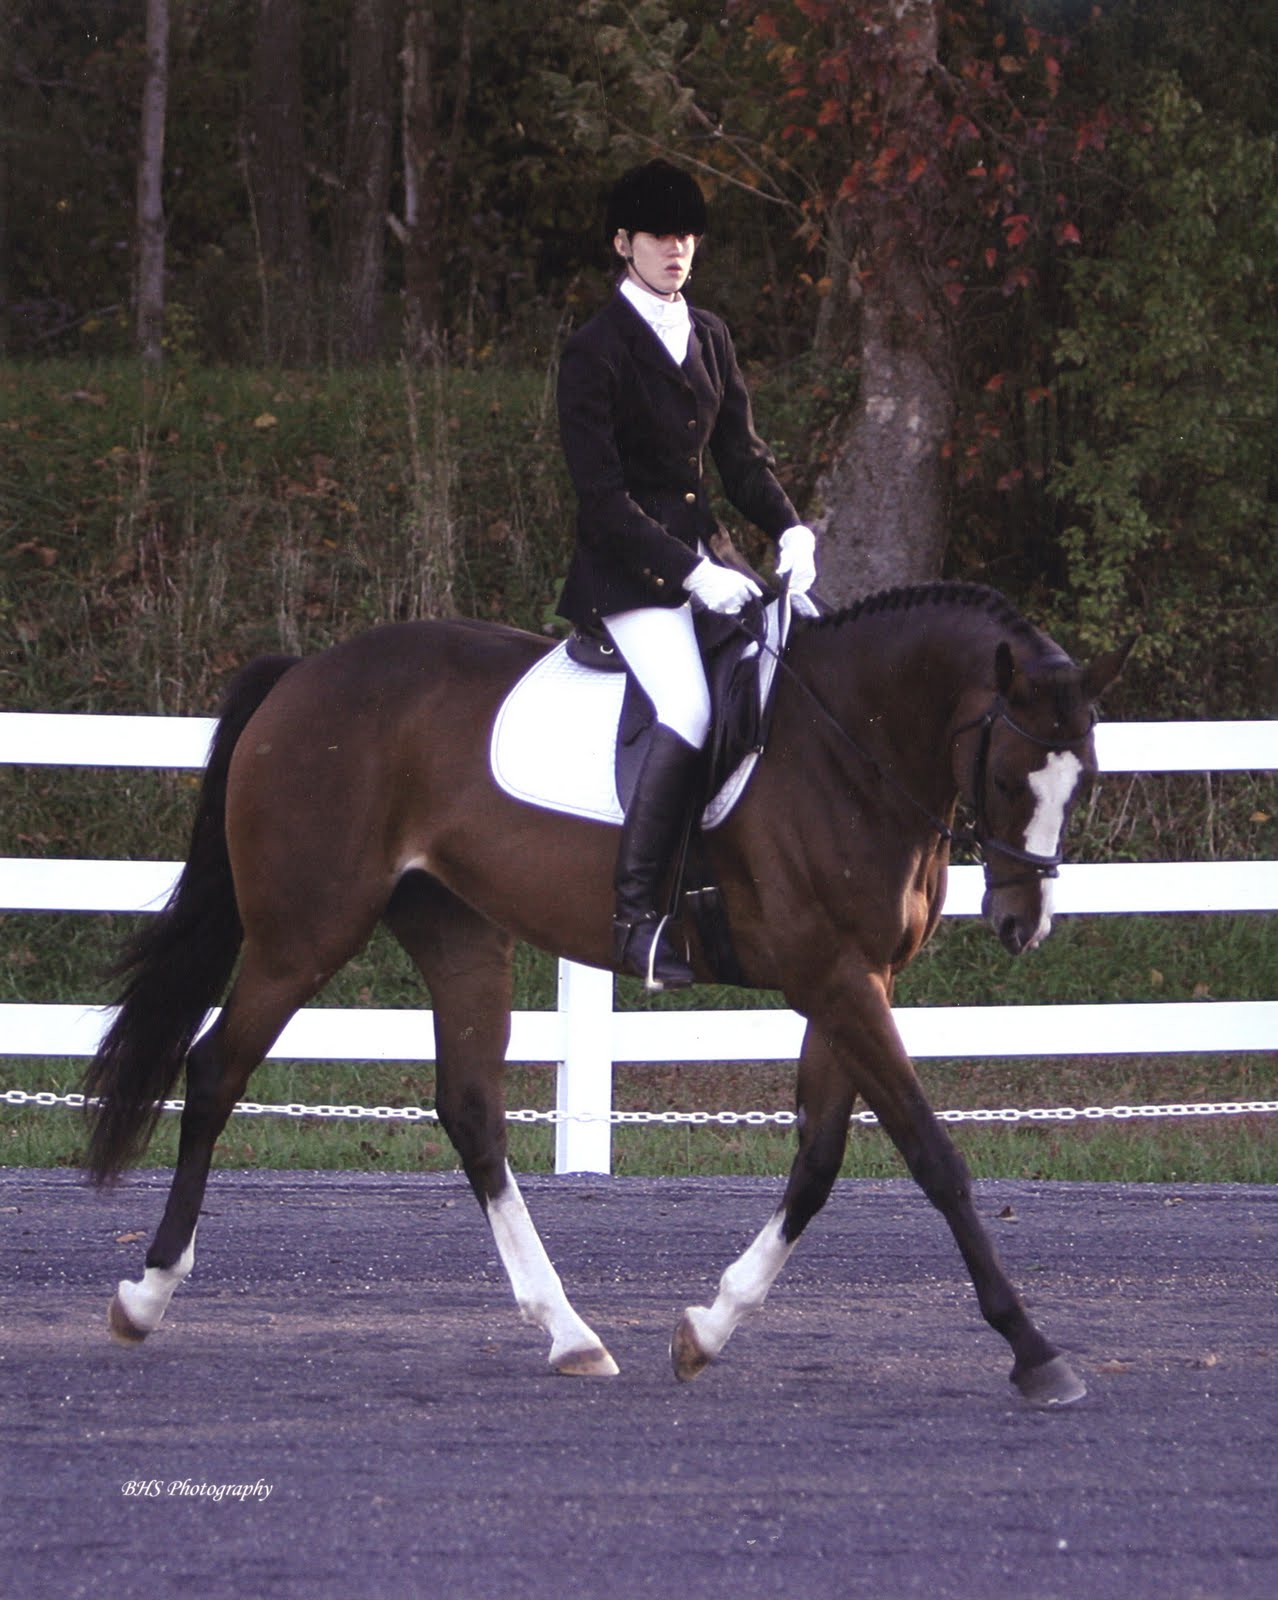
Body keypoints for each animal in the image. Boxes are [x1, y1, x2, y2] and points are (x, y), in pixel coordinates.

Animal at [83, 582, 1130, 1406]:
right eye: (1010, 774)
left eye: (1084, 780)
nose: (1022, 920)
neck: (848, 746)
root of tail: (305, 674)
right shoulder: (835, 979)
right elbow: (932, 1155)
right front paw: (1034, 1352)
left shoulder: (856, 978)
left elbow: (821, 1161)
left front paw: (706, 1329)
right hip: (305, 931)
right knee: (214, 1071)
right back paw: (145, 1296)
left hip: (457, 931)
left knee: (471, 1113)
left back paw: (571, 1335)